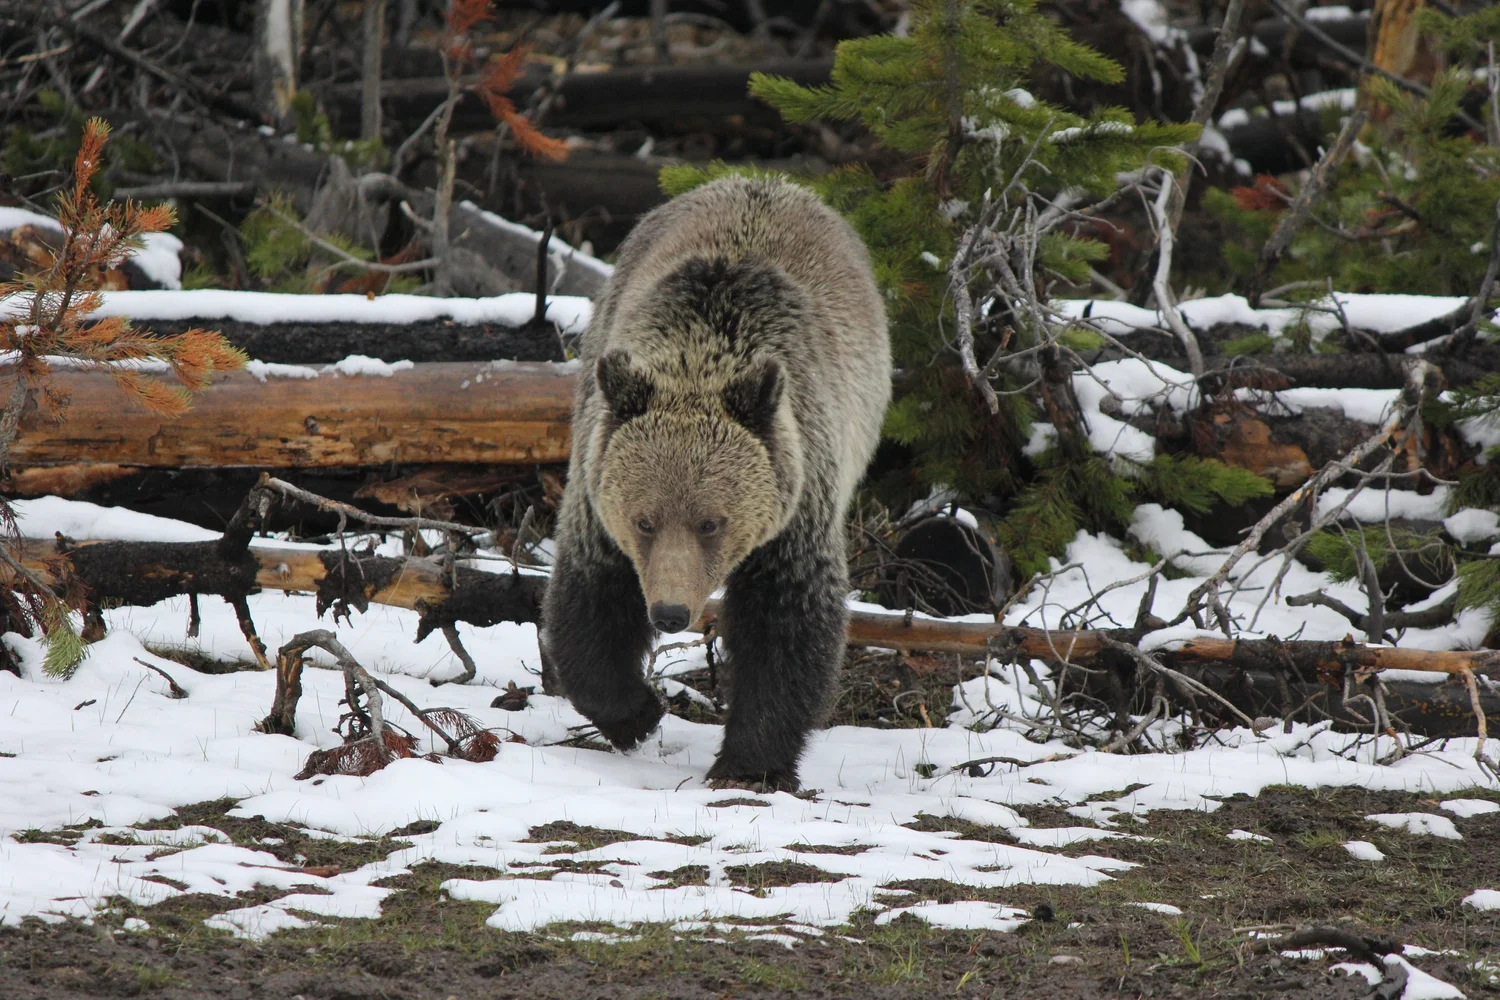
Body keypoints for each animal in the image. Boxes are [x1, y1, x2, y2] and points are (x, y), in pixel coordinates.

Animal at [538, 175, 891, 792]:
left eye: (710, 522)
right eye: (644, 519)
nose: (670, 613)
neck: (699, 357)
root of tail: (765, 180)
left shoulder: (797, 506)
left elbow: (785, 628)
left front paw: (750, 763)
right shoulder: (596, 488)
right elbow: (590, 604)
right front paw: (637, 712)